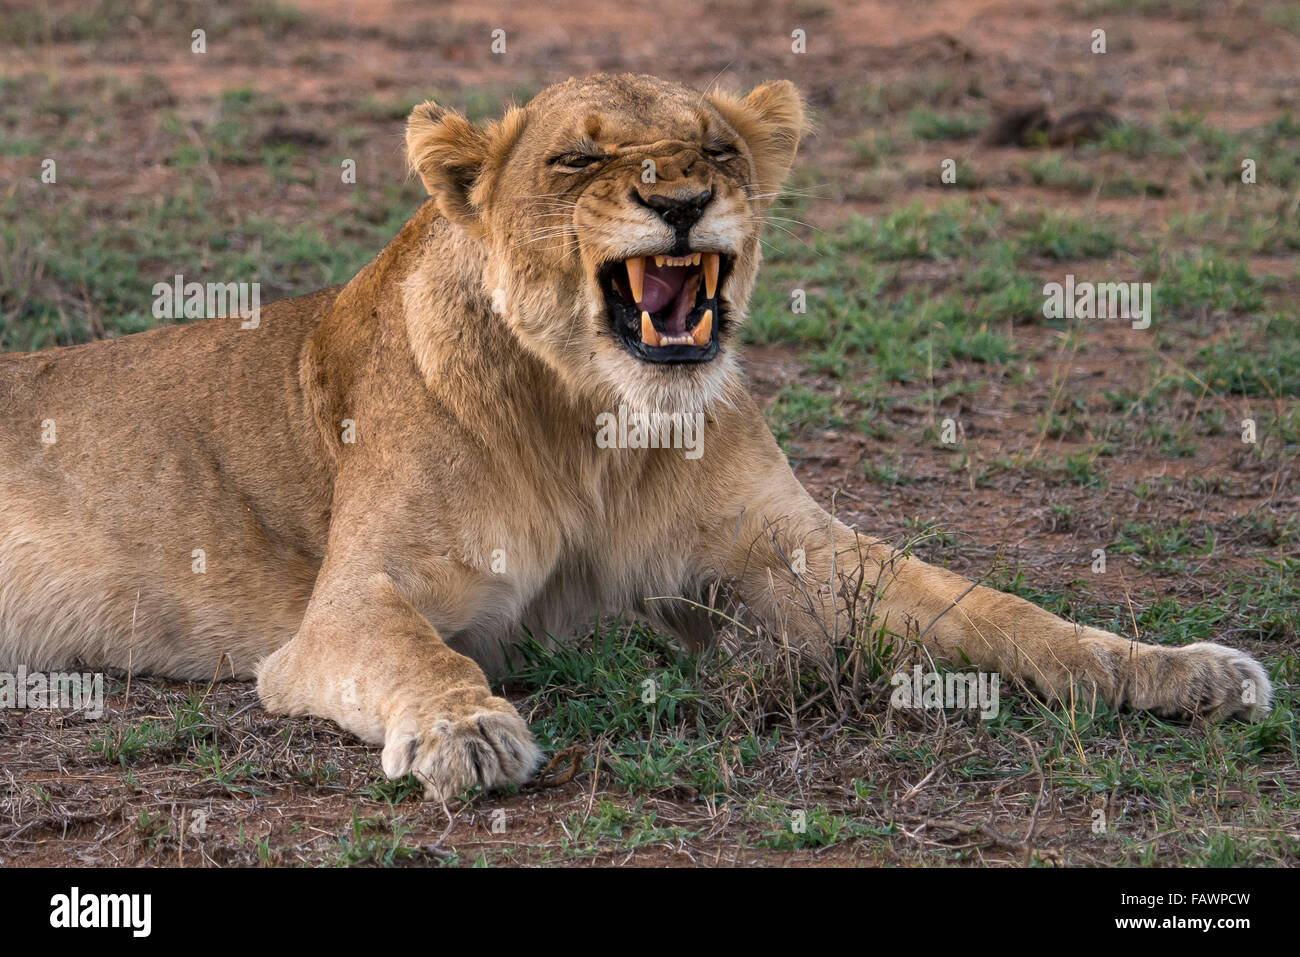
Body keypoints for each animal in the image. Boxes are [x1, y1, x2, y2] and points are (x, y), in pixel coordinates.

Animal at [0, 74, 1271, 800]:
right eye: (578, 159)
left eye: (717, 151)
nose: (679, 201)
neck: (599, 426)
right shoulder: (345, 606)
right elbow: (420, 650)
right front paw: (469, 731)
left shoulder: (792, 554)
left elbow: (1000, 611)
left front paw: (1178, 670)